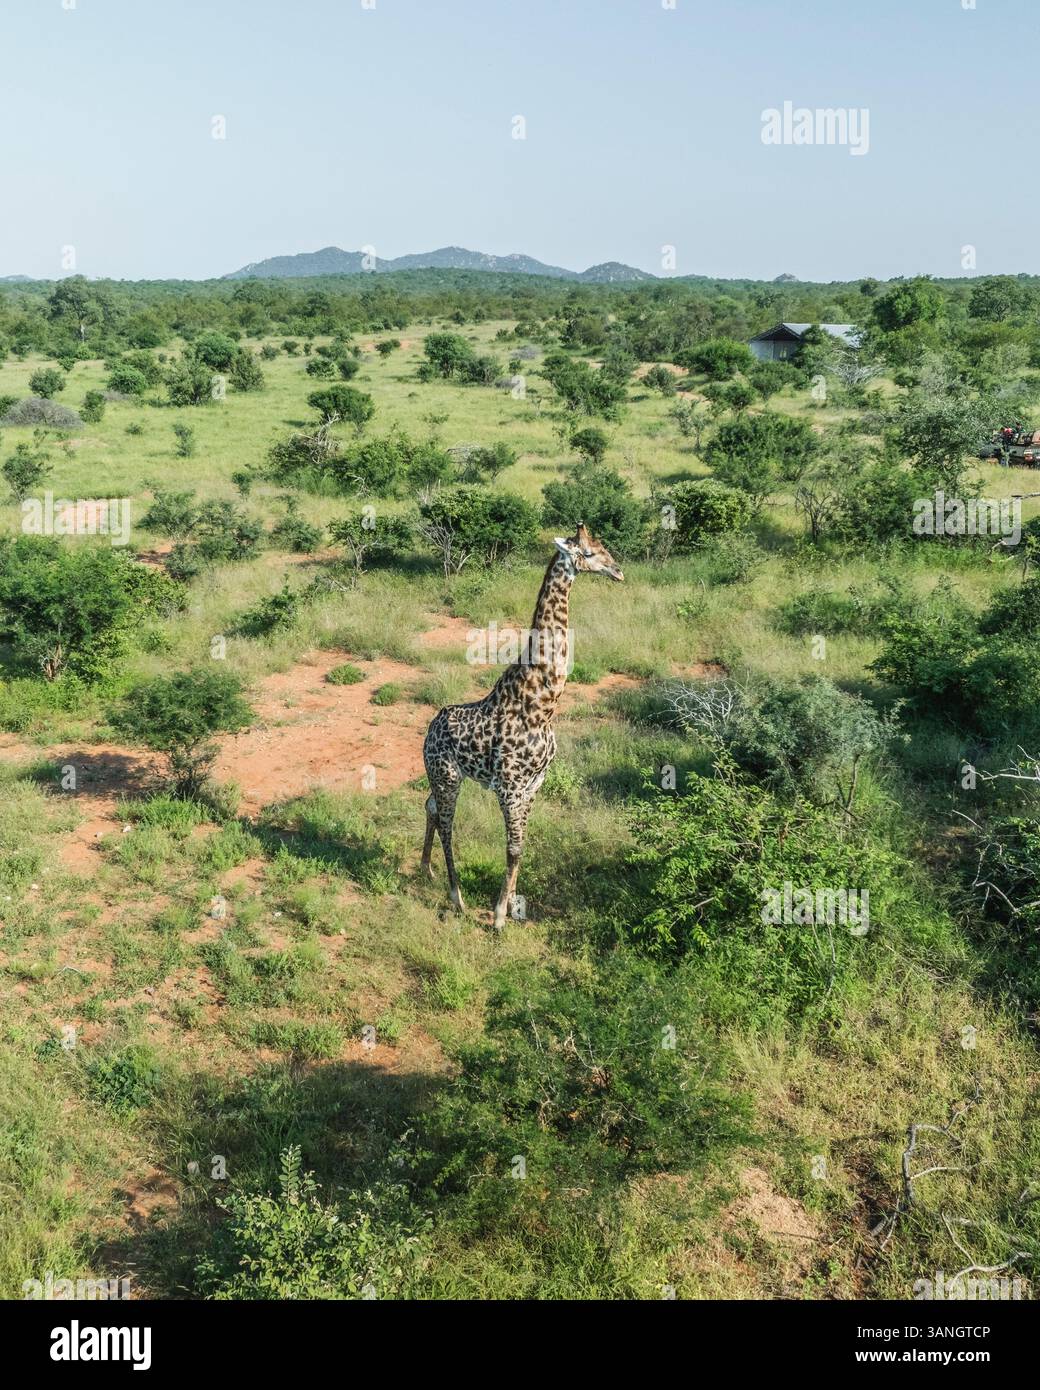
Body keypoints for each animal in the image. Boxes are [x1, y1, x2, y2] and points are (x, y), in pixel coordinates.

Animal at [421, 523, 623, 928]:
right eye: (589, 553)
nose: (619, 571)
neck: (543, 705)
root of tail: (427, 732)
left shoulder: (534, 785)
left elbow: (522, 847)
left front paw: (513, 907)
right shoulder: (510, 787)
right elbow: (513, 848)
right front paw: (498, 916)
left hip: (441, 777)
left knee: (429, 806)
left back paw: (425, 869)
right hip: (448, 776)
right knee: (448, 823)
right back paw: (456, 897)